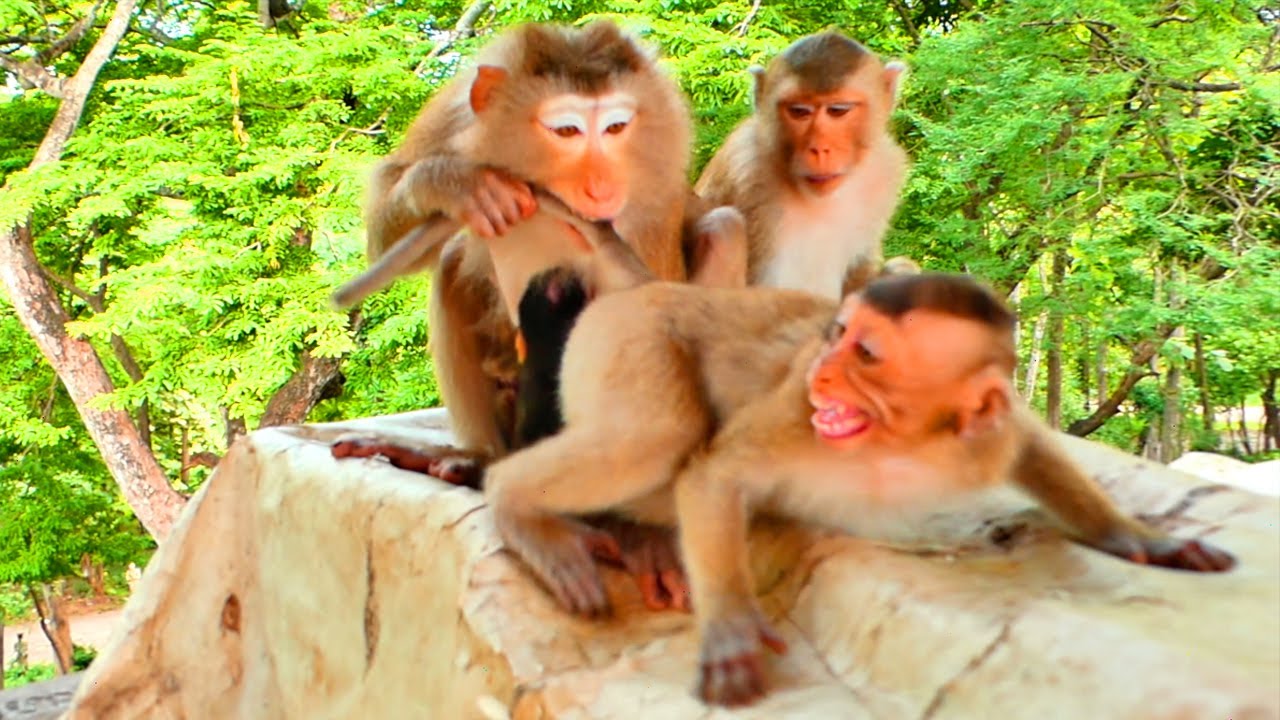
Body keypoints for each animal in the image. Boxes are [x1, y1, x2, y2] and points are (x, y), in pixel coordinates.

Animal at [482, 272, 1236, 707]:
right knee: (657, 435)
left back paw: (636, 537)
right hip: (621, 333)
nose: (822, 371)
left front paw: (1138, 539)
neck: (895, 445)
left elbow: (1033, 448)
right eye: (836, 336)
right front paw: (730, 627)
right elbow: (716, 473)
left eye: (865, 353)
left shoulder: (985, 432)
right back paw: (515, 503)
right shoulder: (797, 413)